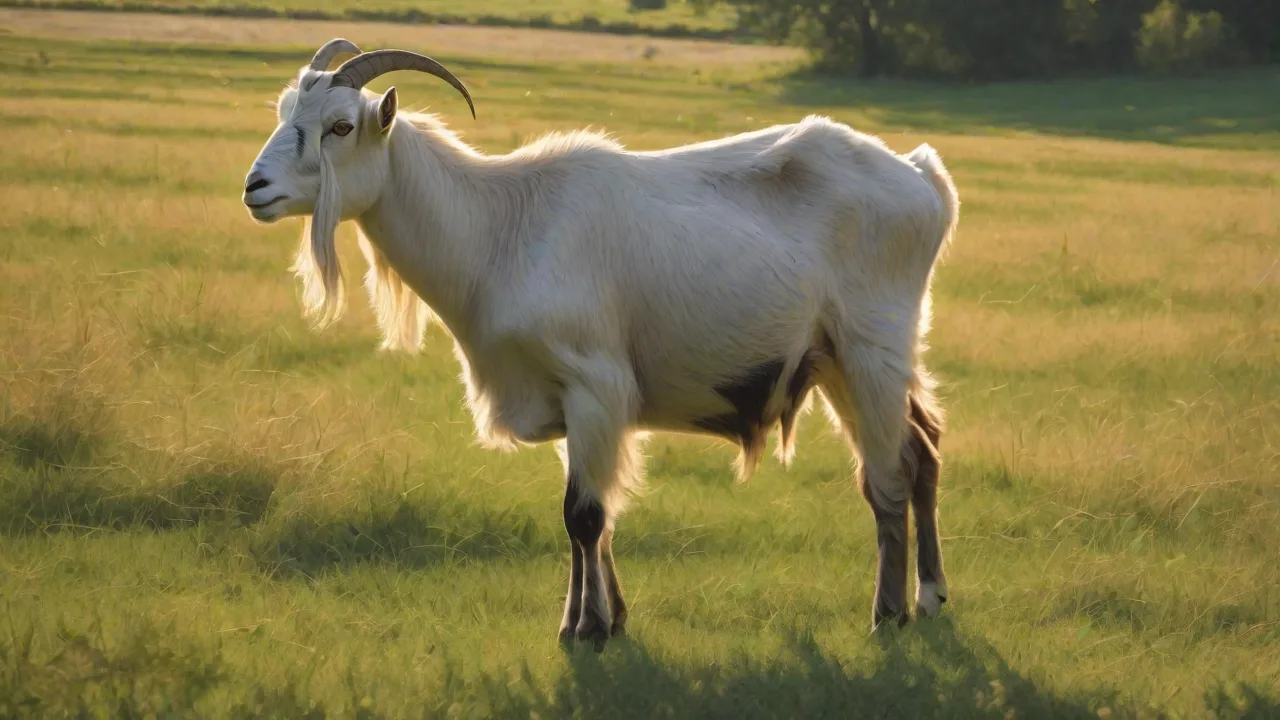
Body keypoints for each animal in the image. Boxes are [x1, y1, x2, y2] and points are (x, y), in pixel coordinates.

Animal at [242, 39, 960, 647]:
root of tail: (922, 177)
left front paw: (585, 630)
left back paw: (887, 613)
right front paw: (604, 617)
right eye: (284, 111)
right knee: (920, 449)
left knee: (889, 476)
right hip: (835, 361)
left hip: (872, 352)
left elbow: (584, 515)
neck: (499, 226)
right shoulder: (572, 403)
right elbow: (599, 516)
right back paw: (929, 599)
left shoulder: (594, 386)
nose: (256, 187)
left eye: (340, 126)